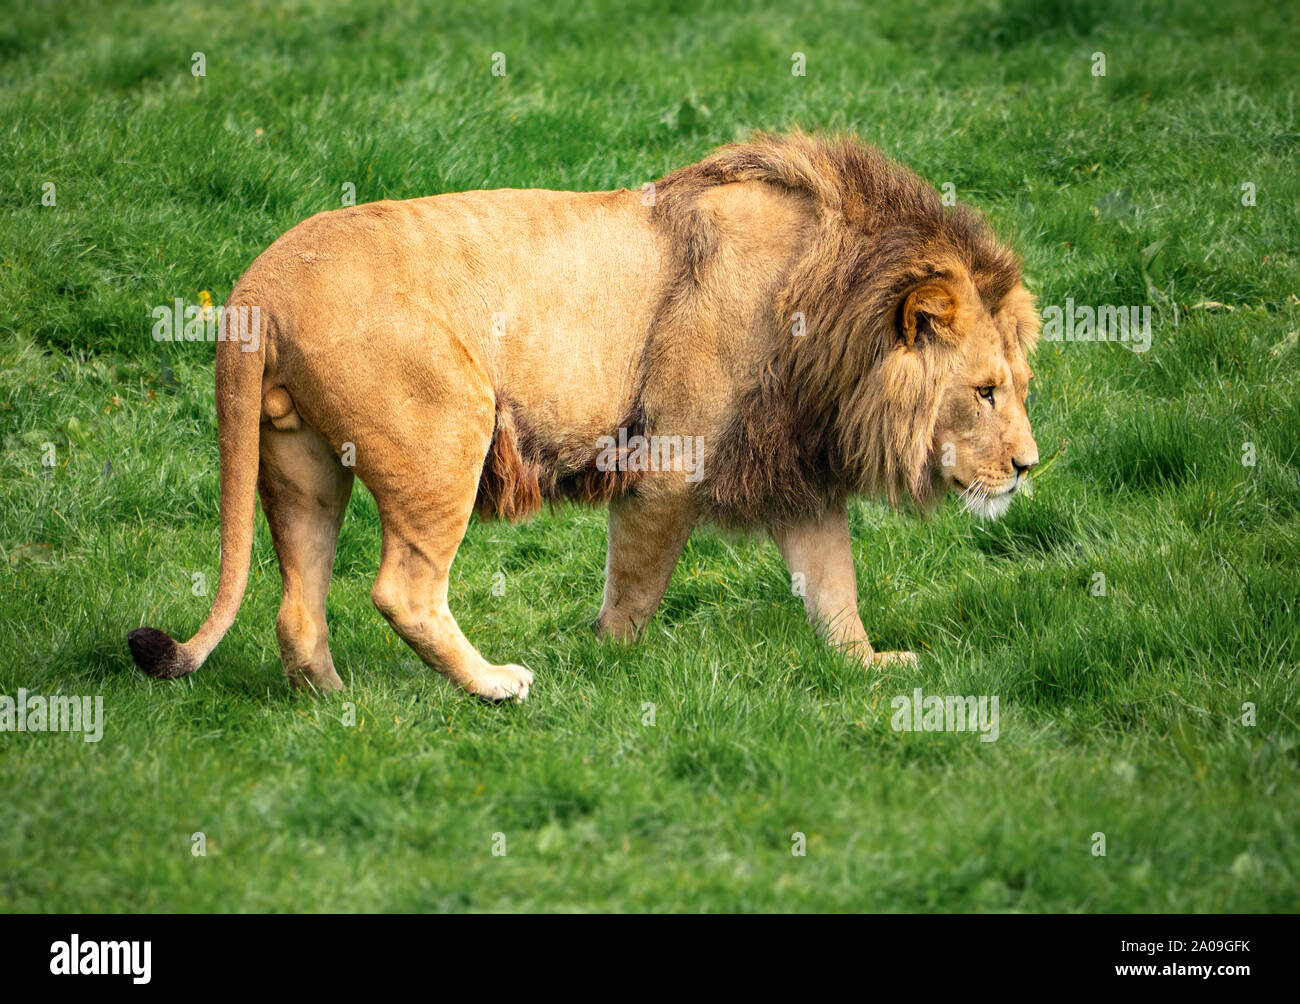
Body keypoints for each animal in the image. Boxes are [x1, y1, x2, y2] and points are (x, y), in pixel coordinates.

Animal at [128, 132, 1040, 702]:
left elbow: (833, 586)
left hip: (299, 460)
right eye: (986, 391)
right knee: (405, 589)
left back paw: (331, 700)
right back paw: (494, 686)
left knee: (298, 601)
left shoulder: (793, 467)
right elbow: (636, 587)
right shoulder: (670, 462)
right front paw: (608, 662)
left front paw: (871, 666)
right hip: (448, 427)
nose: (1030, 466)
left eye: (1016, 384)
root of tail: (259, 287)